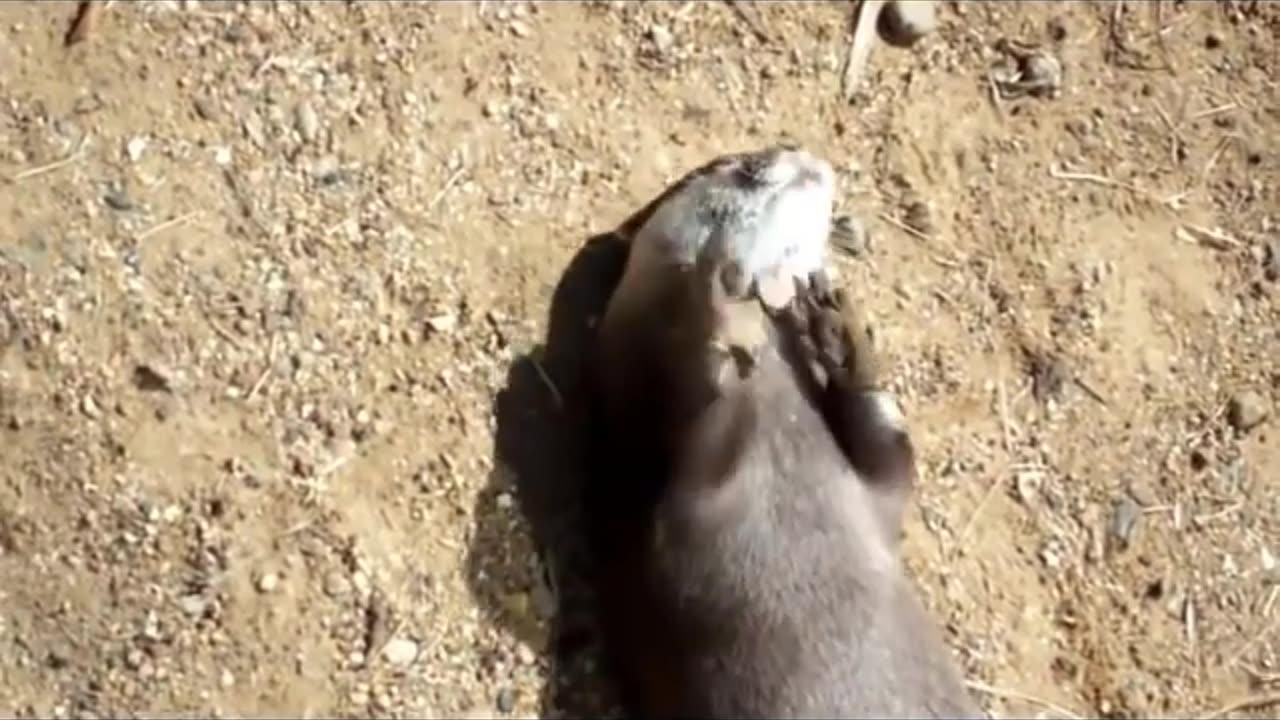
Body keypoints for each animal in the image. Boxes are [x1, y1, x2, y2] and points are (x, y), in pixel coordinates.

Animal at [583, 146, 981, 719]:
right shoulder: (656, 504)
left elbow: (890, 445)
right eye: (725, 166)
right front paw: (722, 302)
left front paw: (841, 333)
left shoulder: (875, 499)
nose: (788, 149)